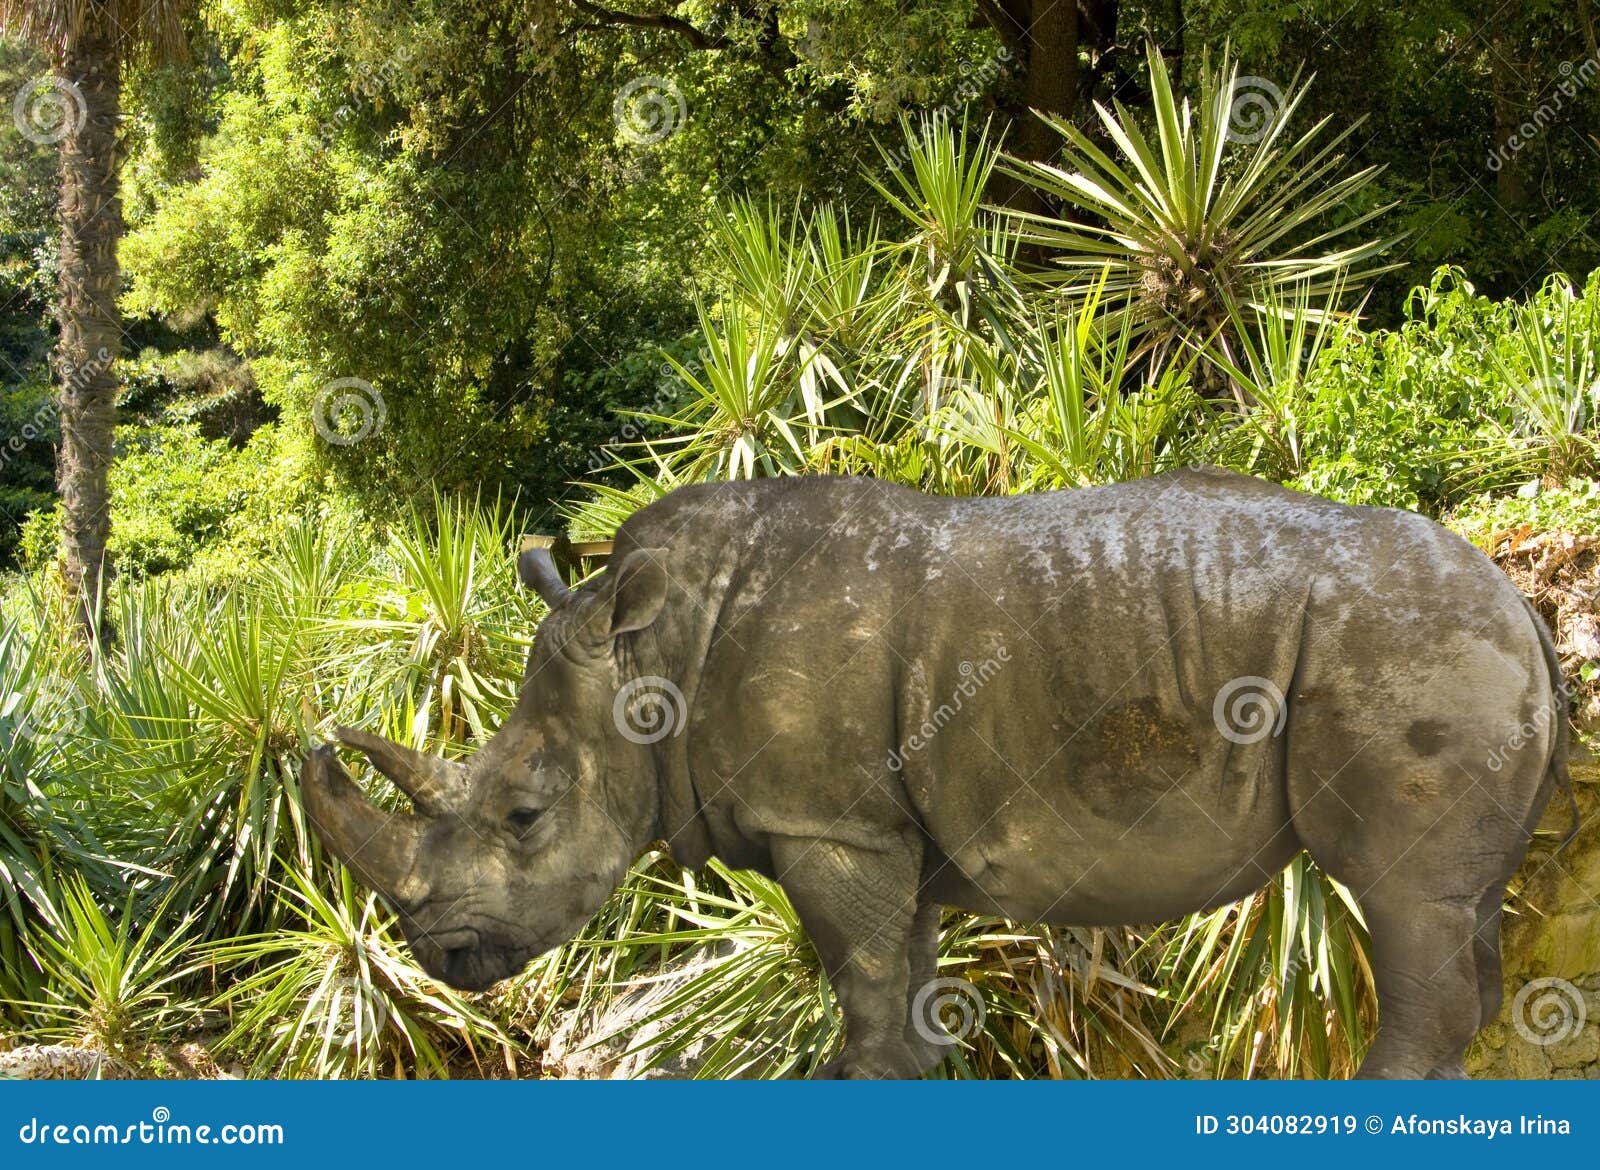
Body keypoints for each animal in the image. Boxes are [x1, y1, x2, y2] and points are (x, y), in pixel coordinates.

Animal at [303, 468, 1570, 1078]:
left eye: (523, 815)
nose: (442, 957)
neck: (651, 658)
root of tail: (1518, 601)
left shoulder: (830, 823)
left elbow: (858, 973)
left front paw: (854, 1080)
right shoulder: (880, 827)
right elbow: (898, 969)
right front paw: (917, 1067)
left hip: (1407, 644)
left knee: (1400, 895)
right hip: (1445, 647)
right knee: (1457, 910)